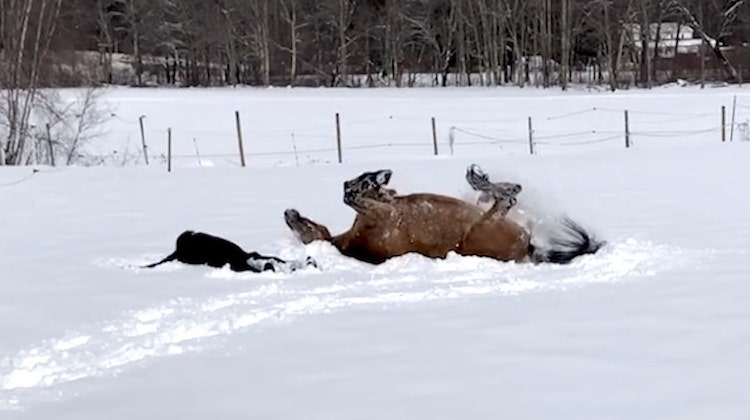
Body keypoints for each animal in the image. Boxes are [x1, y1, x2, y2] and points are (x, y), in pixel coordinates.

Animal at [284, 164, 604, 265]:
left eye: (306, 225)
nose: (289, 213)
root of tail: (527, 249)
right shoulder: (385, 216)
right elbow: (350, 195)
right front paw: (374, 178)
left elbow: (355, 192)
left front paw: (375, 179)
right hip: (481, 229)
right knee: (506, 200)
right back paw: (481, 181)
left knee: (506, 194)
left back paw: (481, 182)